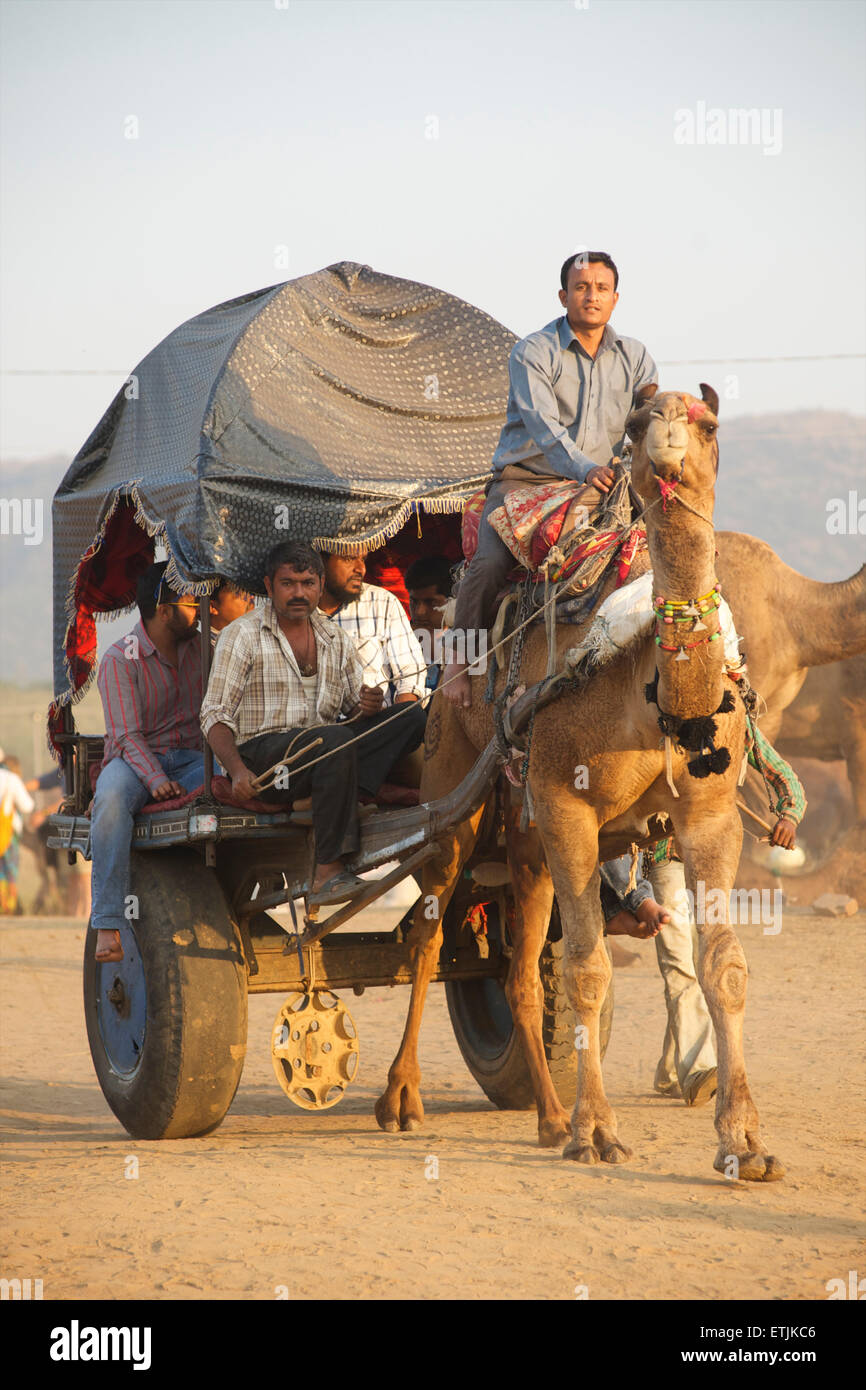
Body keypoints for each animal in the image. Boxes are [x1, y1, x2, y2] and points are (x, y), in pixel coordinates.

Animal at [377, 385, 787, 1181]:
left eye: (708, 423)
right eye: (636, 423)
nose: (665, 439)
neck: (648, 689)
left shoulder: (711, 816)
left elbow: (723, 965)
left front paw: (746, 1143)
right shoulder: (568, 805)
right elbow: (588, 969)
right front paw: (597, 1133)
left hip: (525, 840)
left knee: (517, 970)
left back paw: (546, 1114)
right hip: (453, 799)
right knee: (430, 935)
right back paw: (402, 1099)